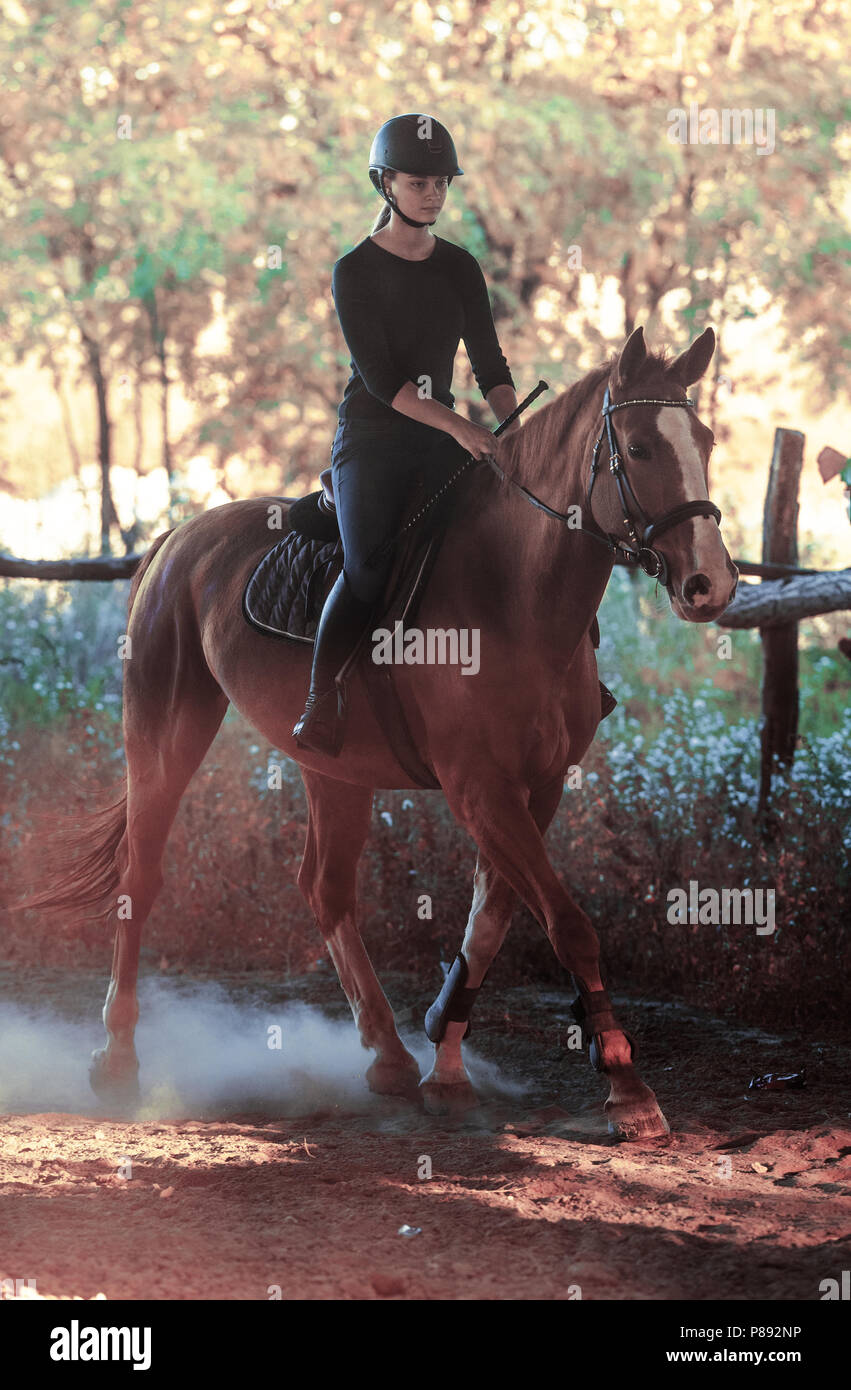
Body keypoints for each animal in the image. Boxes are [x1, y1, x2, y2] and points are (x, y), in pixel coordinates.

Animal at [20, 325, 737, 1140]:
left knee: (325, 889)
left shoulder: (537, 787)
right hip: (164, 730)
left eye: (705, 440)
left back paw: (389, 1054)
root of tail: (178, 537)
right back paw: (116, 1060)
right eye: (641, 448)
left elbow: (490, 921)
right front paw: (626, 1085)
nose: (711, 586)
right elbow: (567, 922)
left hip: (332, 767)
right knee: (141, 876)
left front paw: (447, 1062)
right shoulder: (479, 789)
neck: (515, 594)